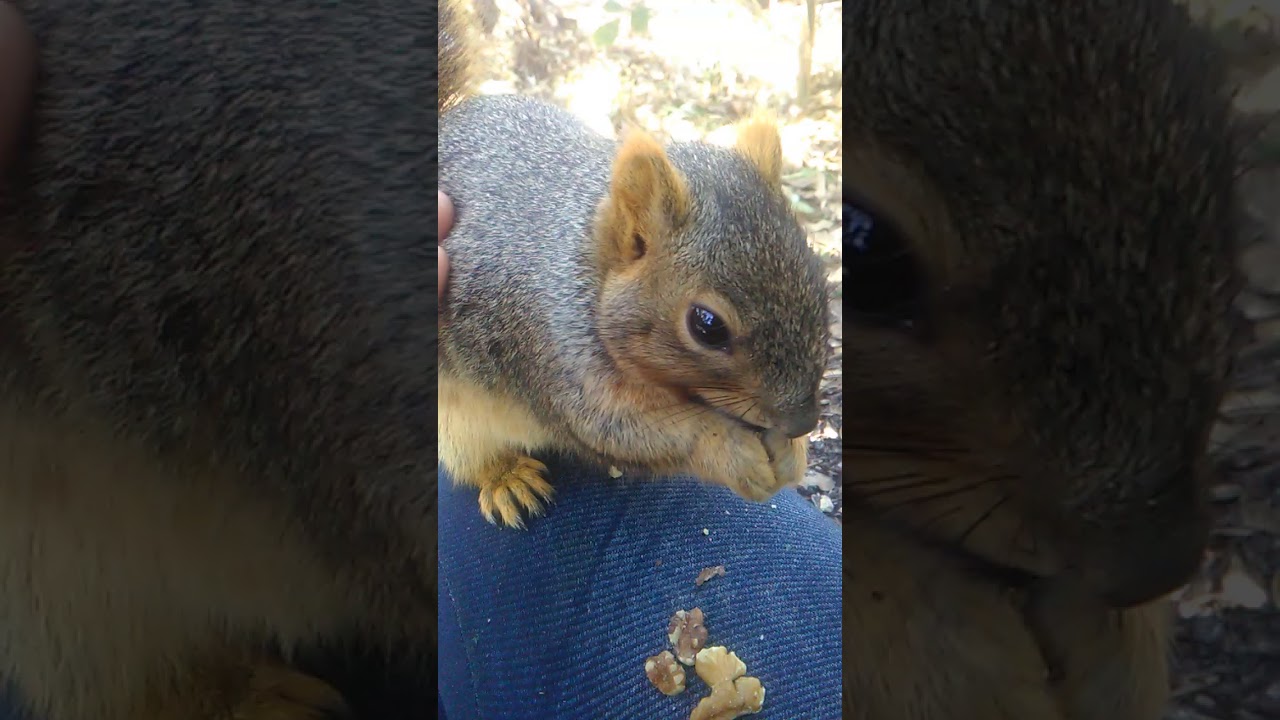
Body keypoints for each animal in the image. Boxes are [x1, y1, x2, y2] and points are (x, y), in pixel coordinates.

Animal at [437, 0, 831, 528]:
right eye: (707, 325)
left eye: (820, 277)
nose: (803, 422)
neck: (586, 259)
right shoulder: (554, 354)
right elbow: (628, 430)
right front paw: (732, 450)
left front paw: (794, 453)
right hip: (453, 417)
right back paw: (506, 479)